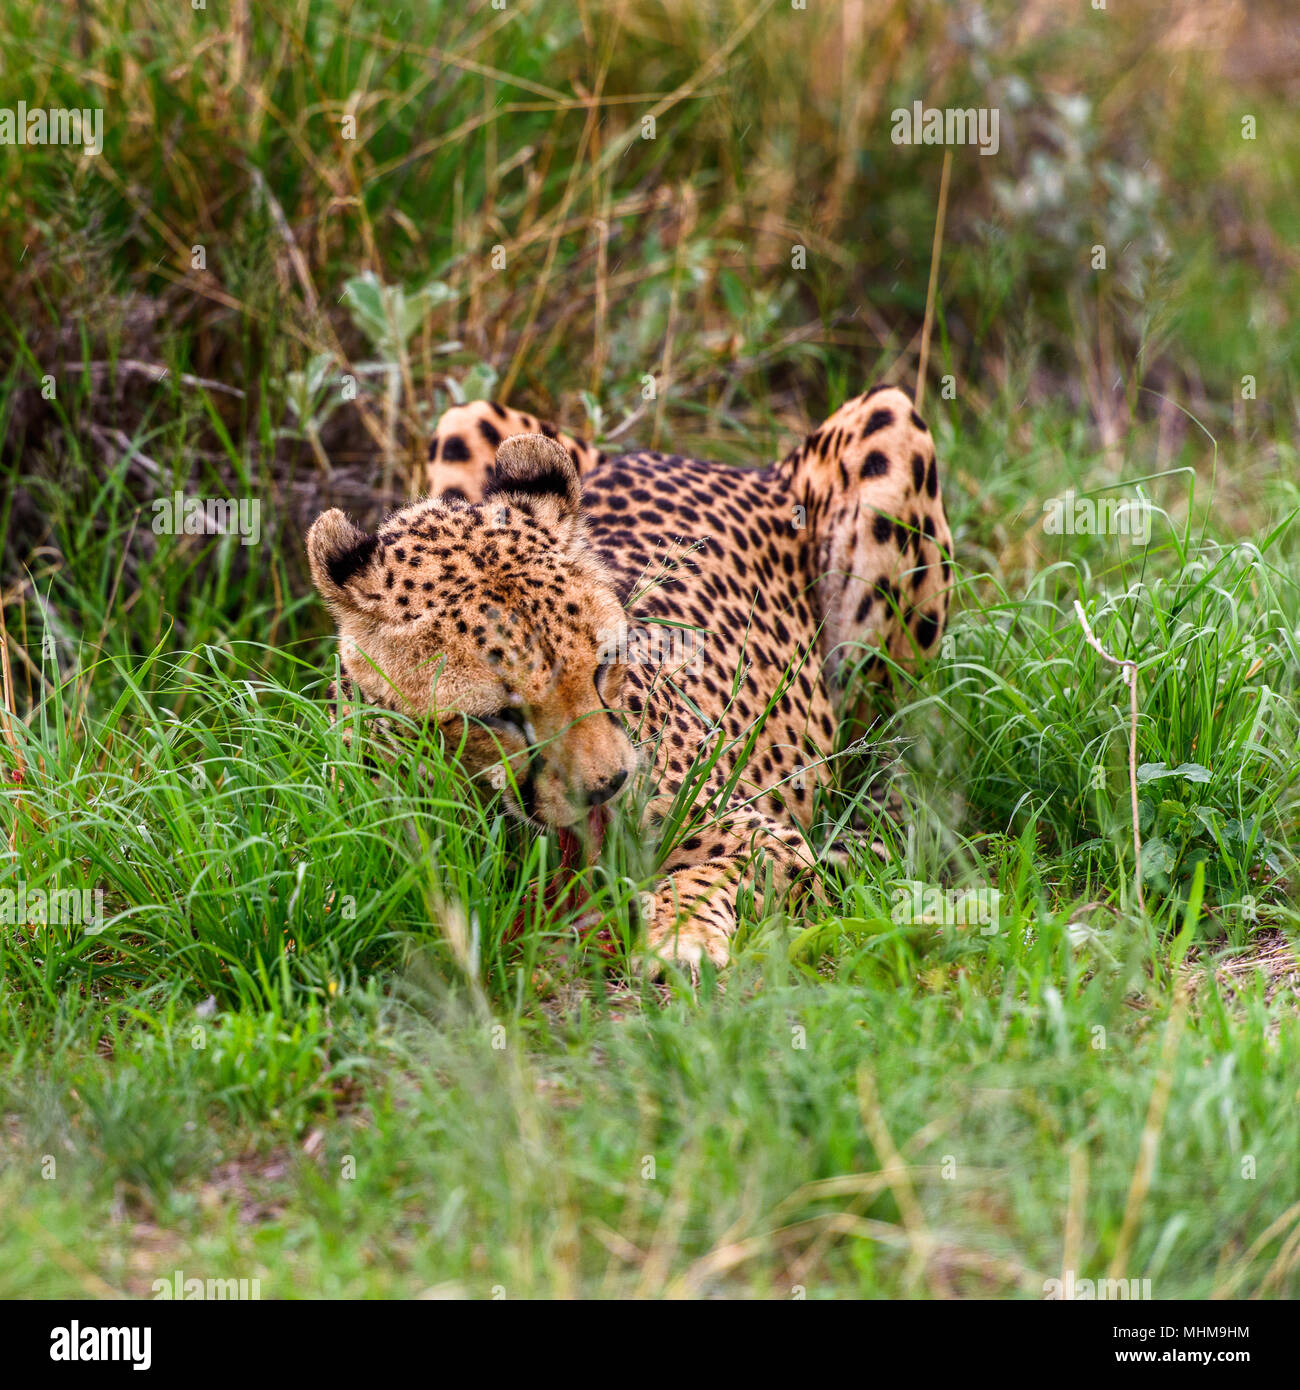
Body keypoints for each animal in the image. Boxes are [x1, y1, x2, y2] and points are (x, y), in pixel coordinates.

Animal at [306, 386, 953, 974]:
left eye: (602, 665)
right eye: (499, 716)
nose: (609, 785)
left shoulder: (761, 836)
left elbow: (717, 870)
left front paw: (680, 935)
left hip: (889, 421)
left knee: (900, 745)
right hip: (465, 416)